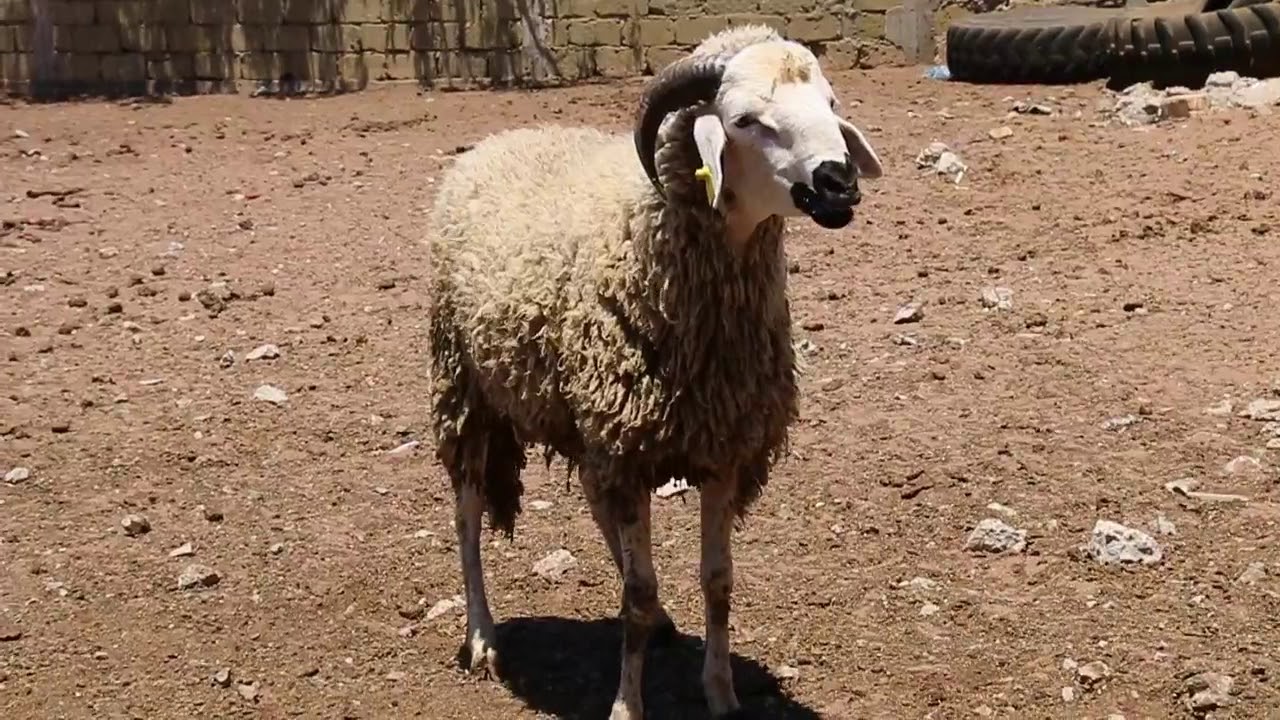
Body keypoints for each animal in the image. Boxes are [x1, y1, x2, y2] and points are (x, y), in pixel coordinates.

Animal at [426, 24, 883, 720]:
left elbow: (718, 582)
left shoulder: (719, 449)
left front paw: (721, 693)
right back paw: (481, 637)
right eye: (745, 120)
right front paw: (627, 704)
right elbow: (635, 598)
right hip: (466, 390)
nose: (839, 182)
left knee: (594, 501)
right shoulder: (631, 450)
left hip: (586, 422)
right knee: (468, 516)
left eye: (831, 104)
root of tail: (503, 138)